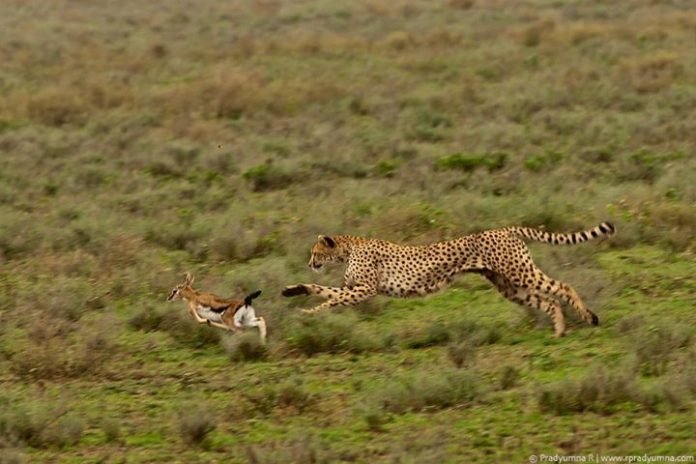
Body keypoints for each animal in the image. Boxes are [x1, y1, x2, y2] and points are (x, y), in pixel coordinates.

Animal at [281, 222, 615, 337]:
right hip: (508, 285)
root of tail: (504, 228)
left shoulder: (365, 290)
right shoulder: (353, 287)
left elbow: (333, 299)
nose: (310, 262)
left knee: (563, 286)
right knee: (547, 301)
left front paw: (309, 313)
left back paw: (589, 317)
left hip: (519, 272)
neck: (349, 248)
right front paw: (292, 292)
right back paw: (559, 330)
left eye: (315, 252)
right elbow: (322, 290)